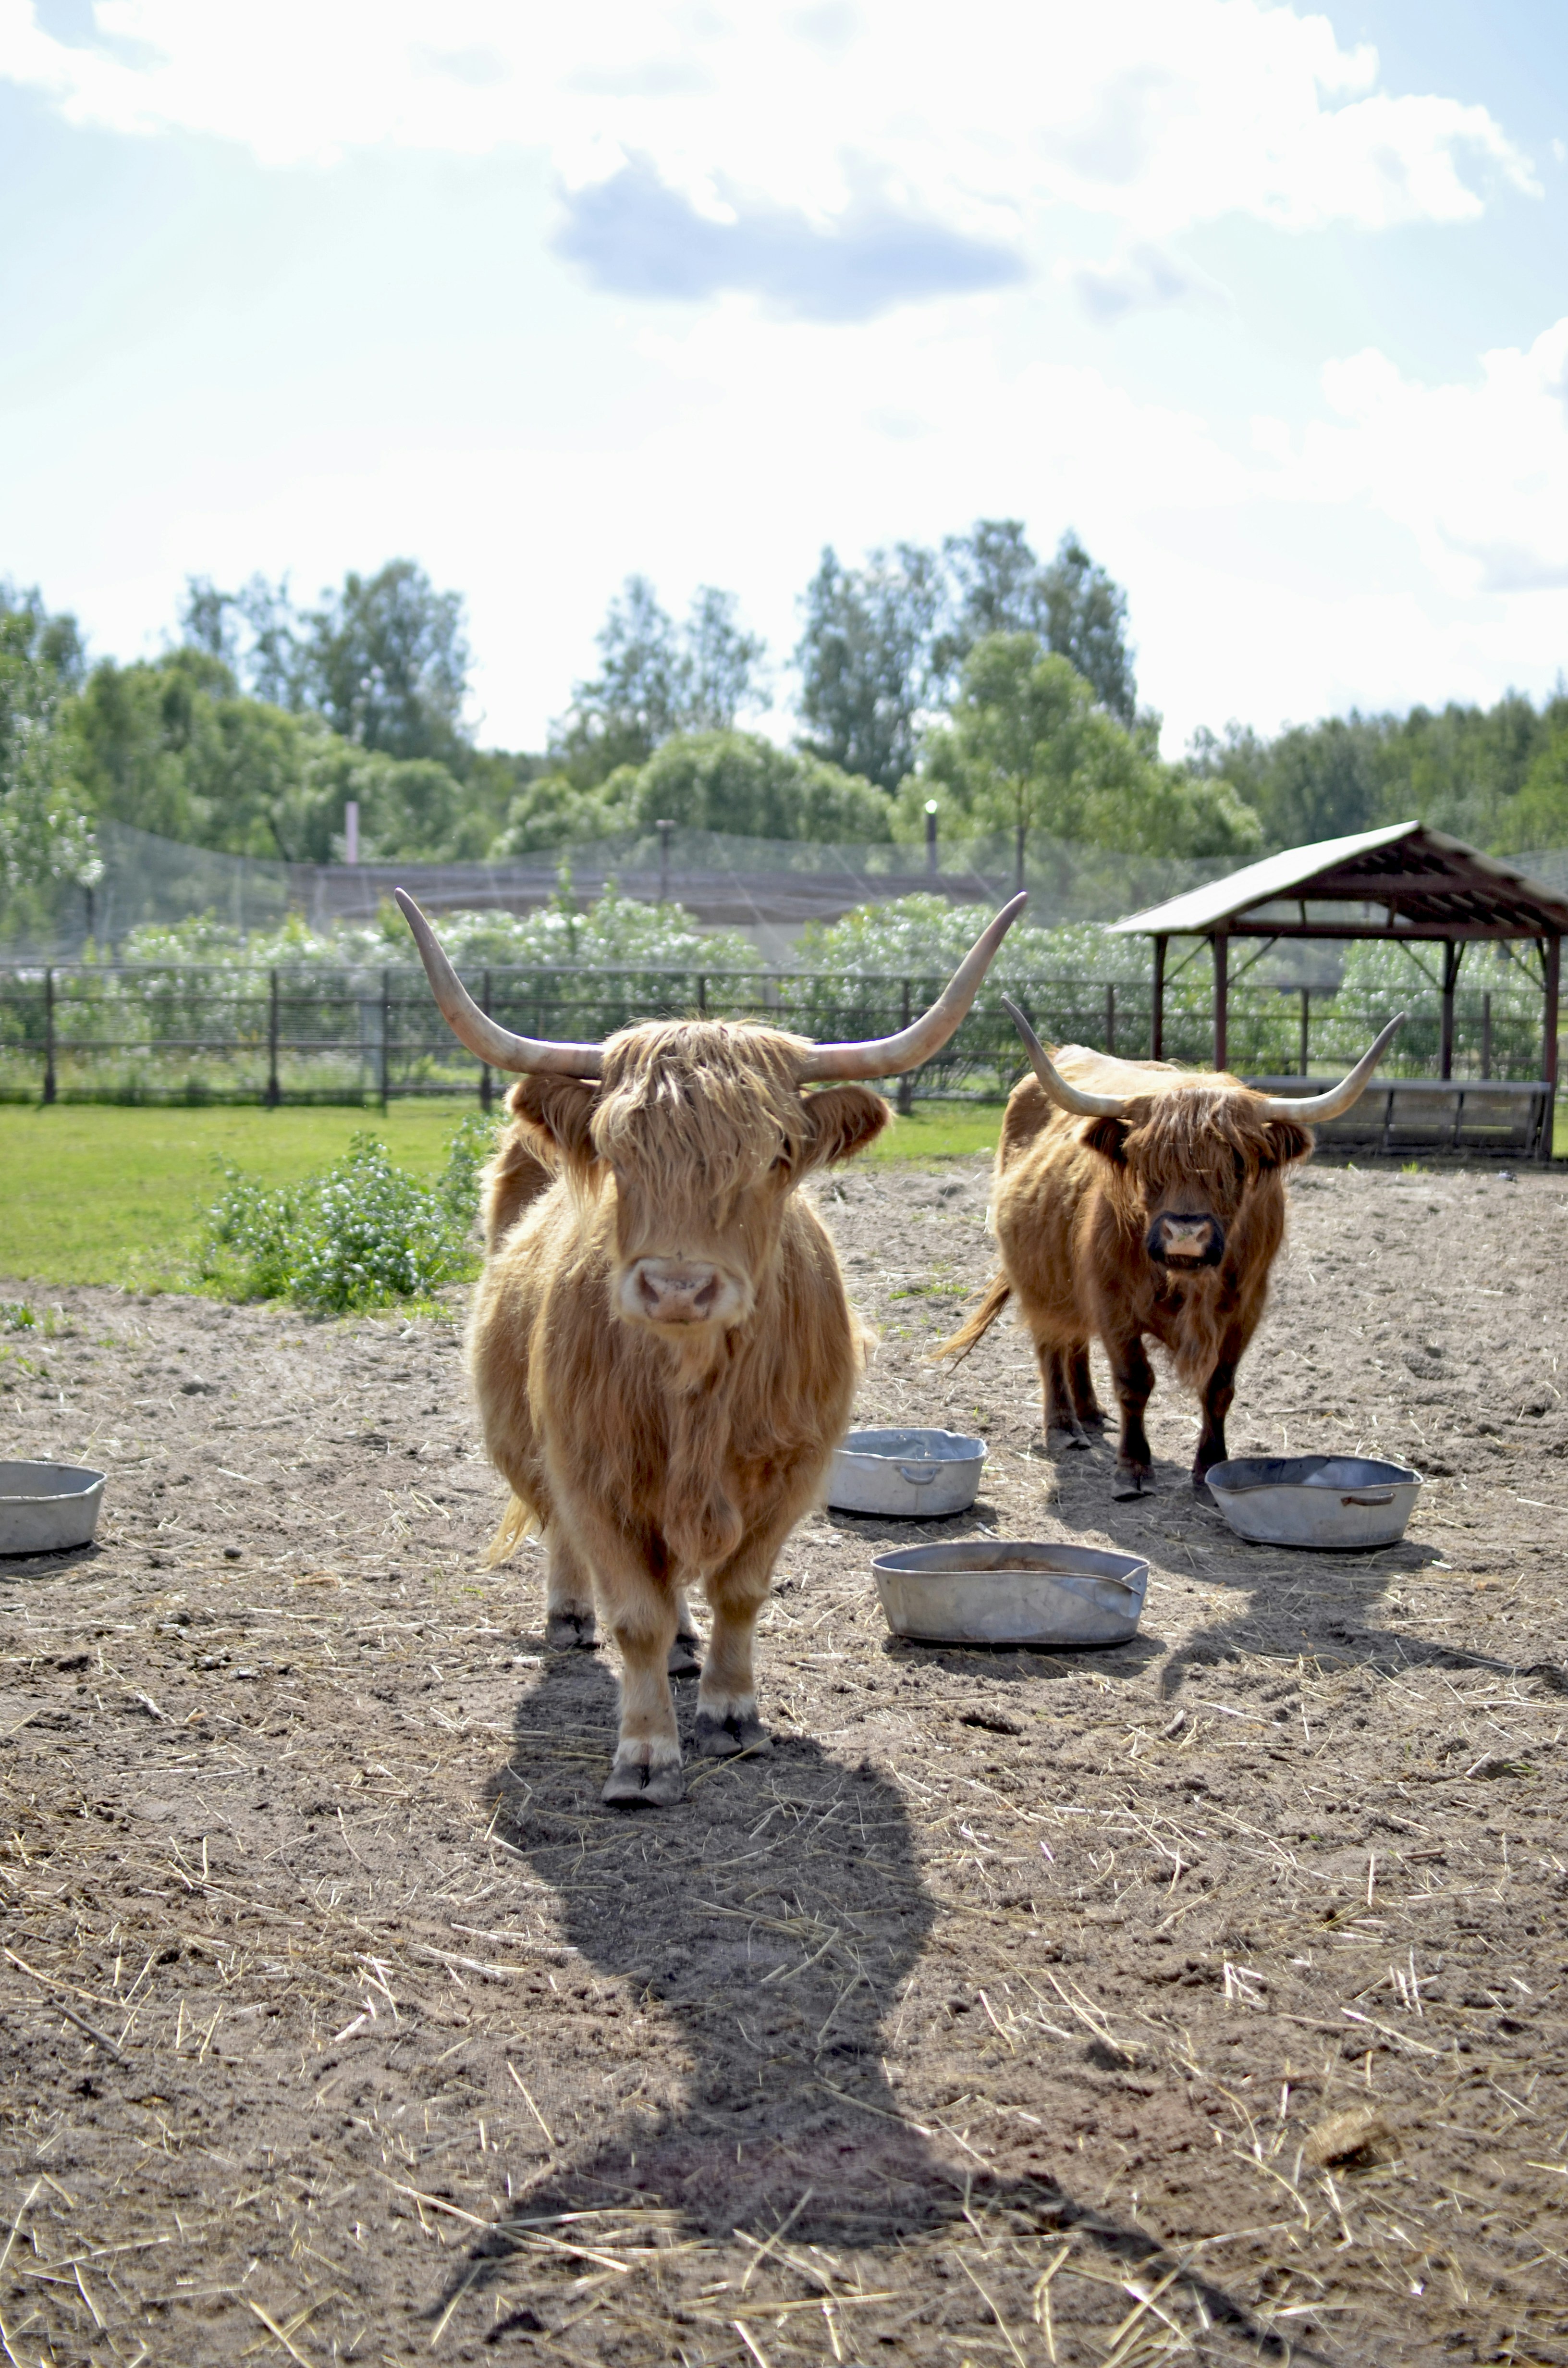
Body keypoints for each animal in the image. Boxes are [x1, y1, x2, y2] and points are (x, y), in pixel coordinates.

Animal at [395, 887, 1024, 1807]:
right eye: (617, 1152)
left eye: (774, 1154)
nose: (678, 1288)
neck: (694, 1384)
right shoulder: (590, 1464)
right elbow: (634, 1613)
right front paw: (645, 1751)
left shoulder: (793, 1469)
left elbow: (739, 1590)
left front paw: (731, 1710)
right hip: (536, 1444)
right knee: (567, 1540)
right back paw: (568, 1616)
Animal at [940, 1004, 1401, 1497]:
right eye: (1147, 1160)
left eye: (1237, 1163)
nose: (1185, 1233)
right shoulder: (1112, 1300)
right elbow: (1134, 1381)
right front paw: (1133, 1468)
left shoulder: (1246, 1308)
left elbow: (1220, 1387)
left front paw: (1210, 1467)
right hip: (1037, 1272)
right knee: (1051, 1340)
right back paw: (1065, 1427)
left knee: (1075, 1339)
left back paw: (1090, 1414)